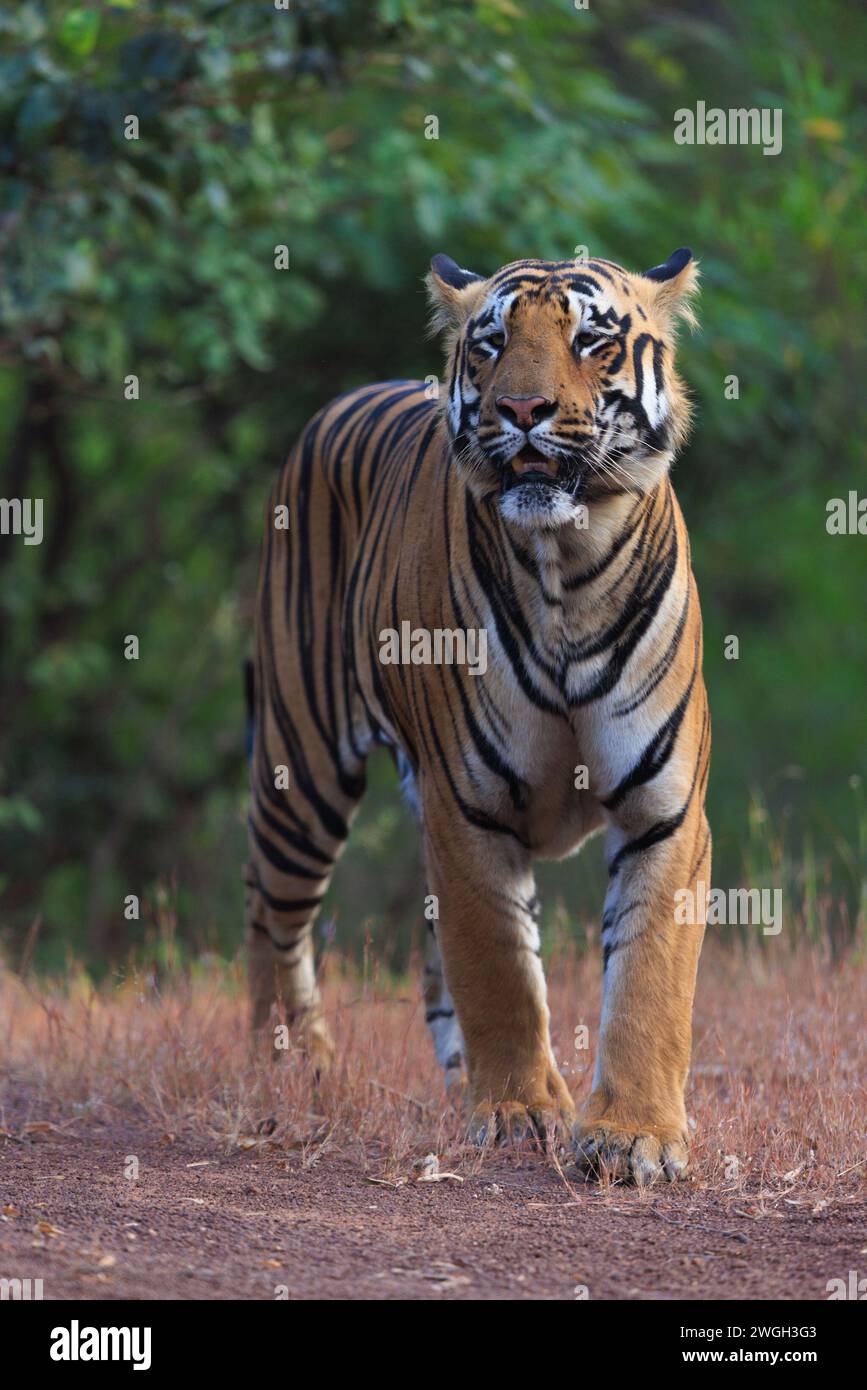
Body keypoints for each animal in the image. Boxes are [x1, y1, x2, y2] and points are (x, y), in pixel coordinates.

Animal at [244, 247, 711, 1185]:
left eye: (591, 339)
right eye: (492, 343)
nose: (522, 410)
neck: (569, 567)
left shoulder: (665, 810)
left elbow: (649, 979)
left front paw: (634, 1135)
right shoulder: (467, 807)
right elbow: (497, 966)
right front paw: (519, 1112)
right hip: (300, 775)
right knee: (270, 918)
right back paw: (287, 1066)